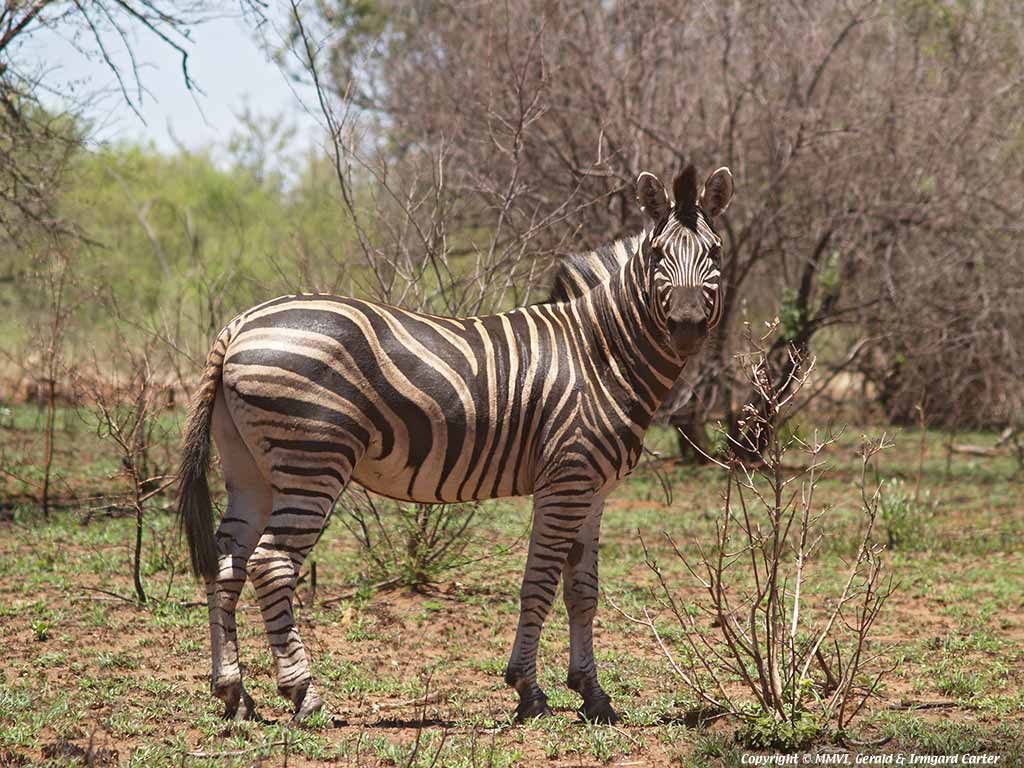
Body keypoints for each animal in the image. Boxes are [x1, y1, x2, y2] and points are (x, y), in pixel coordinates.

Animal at [177, 163, 734, 725]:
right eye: (658, 255)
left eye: (714, 252)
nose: (687, 327)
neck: (601, 353)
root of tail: (239, 323)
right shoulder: (565, 480)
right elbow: (539, 583)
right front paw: (529, 691)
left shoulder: (593, 489)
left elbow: (582, 592)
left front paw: (593, 695)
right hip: (312, 461)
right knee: (272, 564)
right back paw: (304, 694)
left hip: (250, 469)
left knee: (227, 561)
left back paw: (233, 691)